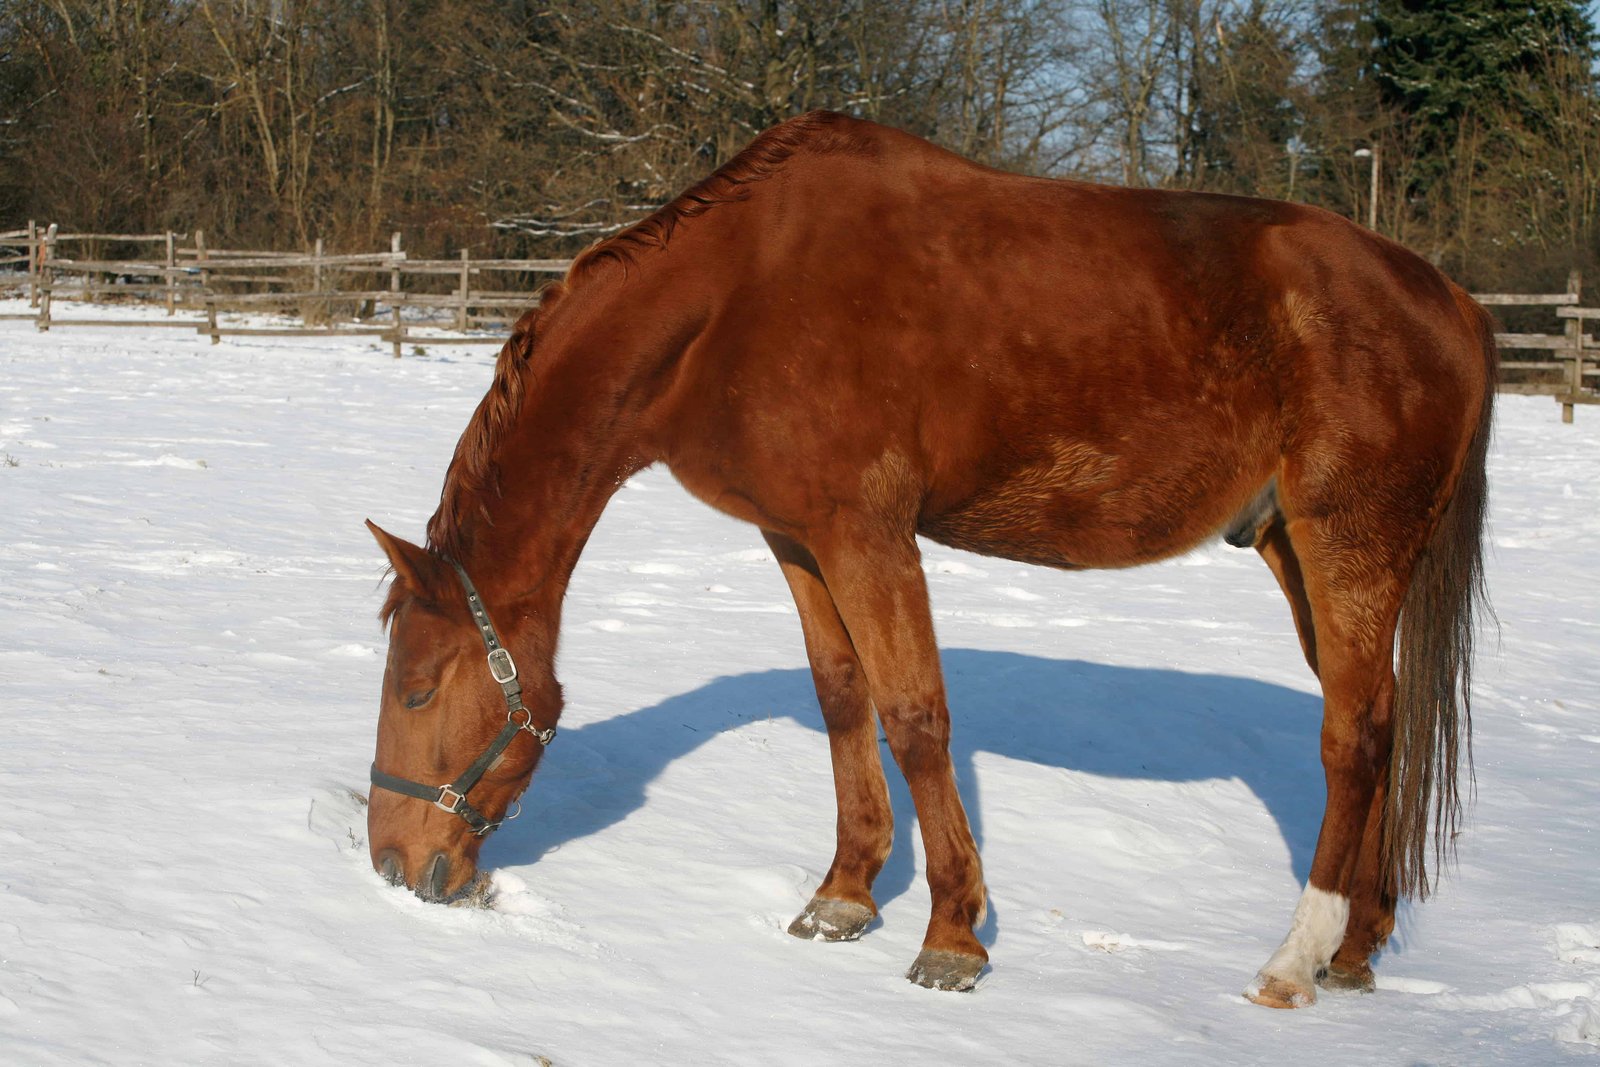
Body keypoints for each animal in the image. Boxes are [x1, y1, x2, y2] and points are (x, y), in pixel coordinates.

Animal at [363, 110, 1495, 1008]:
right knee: (1383, 723)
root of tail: (1451, 300)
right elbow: (842, 697)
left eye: (416, 690)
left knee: (1352, 739)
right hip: (1294, 552)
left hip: (1345, 544)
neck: (735, 298)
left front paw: (952, 935)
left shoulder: (869, 533)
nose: (392, 860)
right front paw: (843, 892)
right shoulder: (799, 538)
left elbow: (915, 717)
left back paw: (1294, 959)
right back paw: (1357, 945)